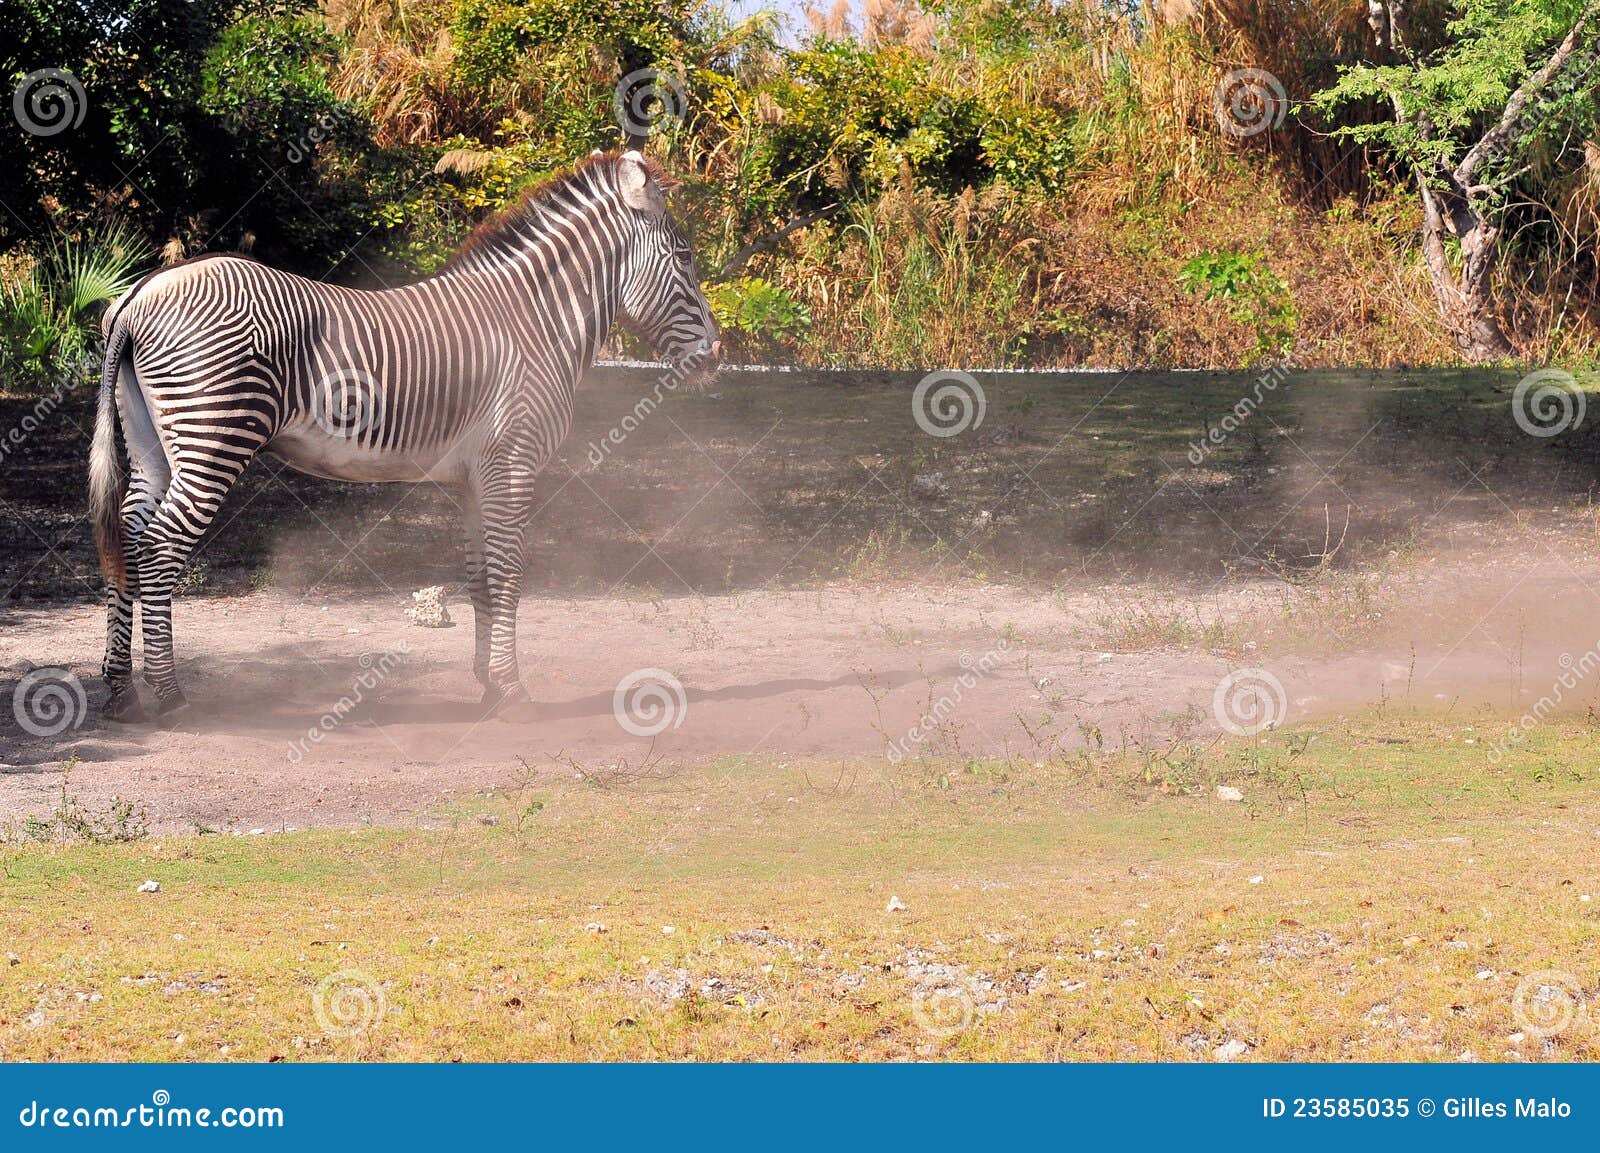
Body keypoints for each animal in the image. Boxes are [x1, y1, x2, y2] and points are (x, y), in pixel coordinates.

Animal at [88, 150, 719, 723]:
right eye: (685, 256)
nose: (717, 354)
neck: (536, 322)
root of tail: (139, 294)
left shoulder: (476, 479)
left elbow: (481, 578)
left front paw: (488, 688)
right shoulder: (514, 464)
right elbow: (509, 574)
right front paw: (514, 694)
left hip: (153, 445)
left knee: (129, 533)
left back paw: (121, 692)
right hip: (214, 436)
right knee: (160, 543)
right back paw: (170, 695)